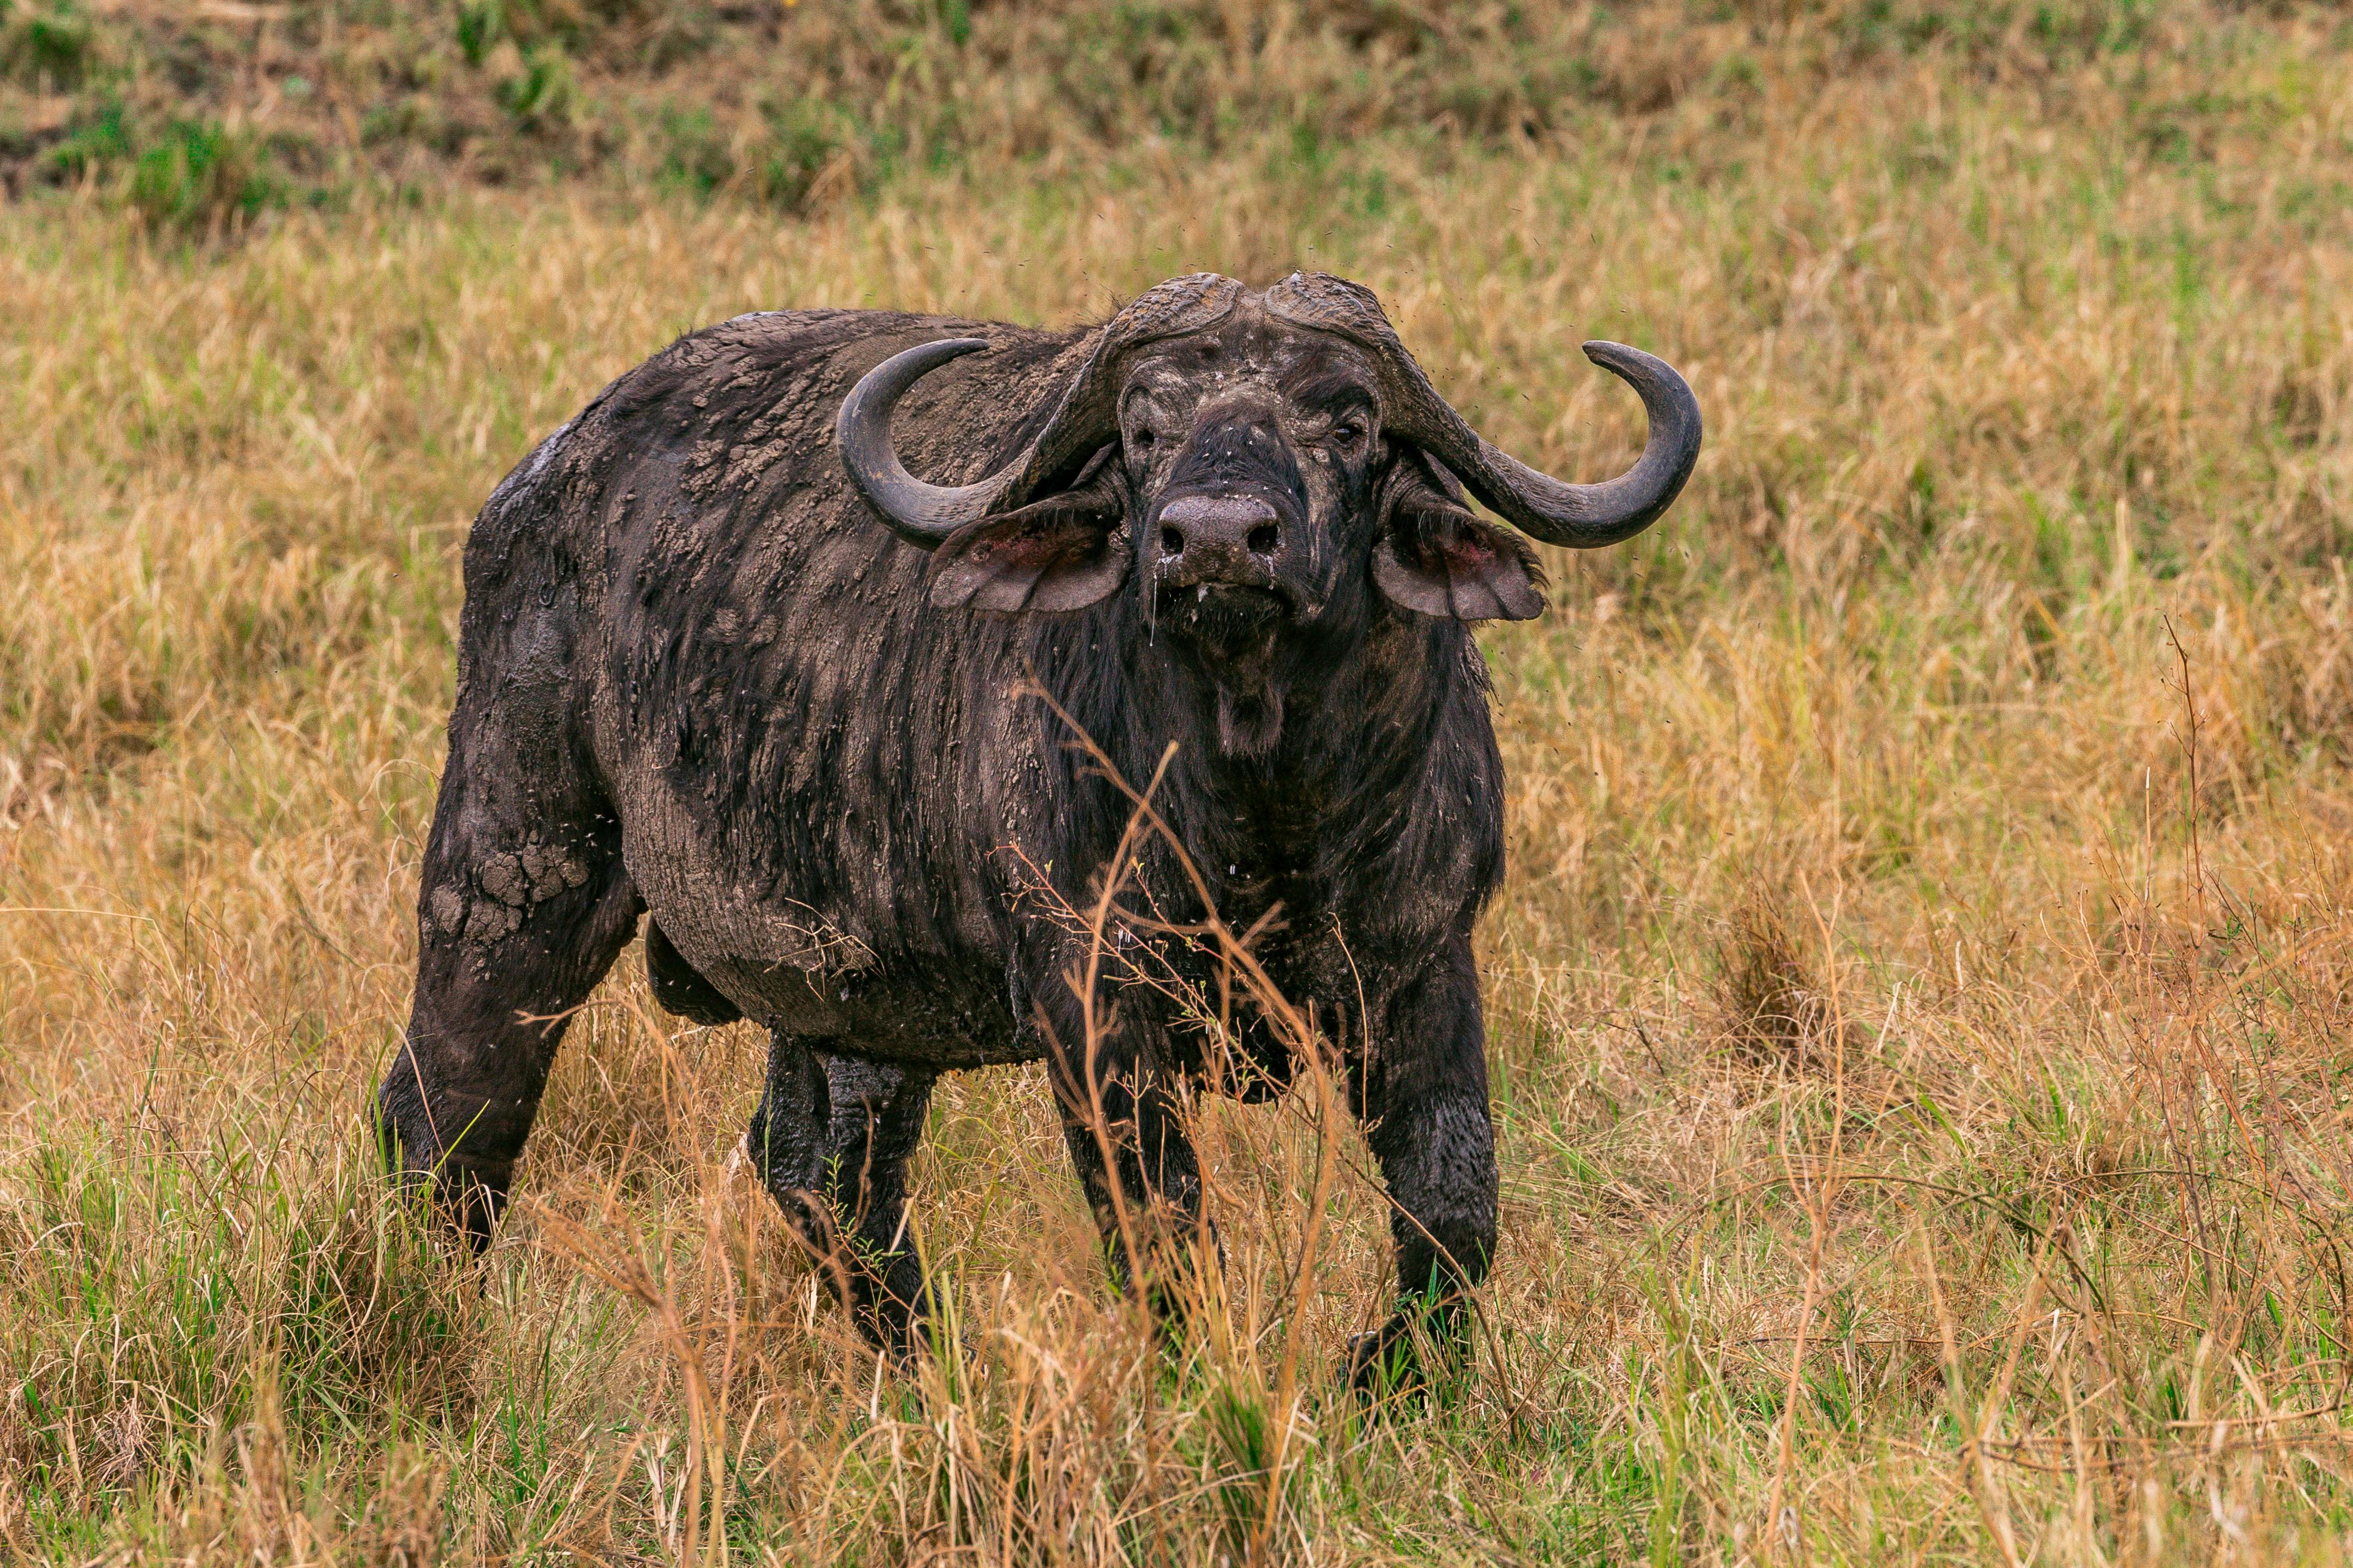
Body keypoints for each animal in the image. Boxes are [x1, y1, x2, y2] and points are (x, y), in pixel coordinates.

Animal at [378, 271, 1700, 1386]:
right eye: (1144, 430)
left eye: (1349, 423)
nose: (1213, 540)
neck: (1260, 808)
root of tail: (547, 476)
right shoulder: (1091, 1000)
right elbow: (1163, 1230)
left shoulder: (1421, 964)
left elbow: (1456, 1206)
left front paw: (1384, 1386)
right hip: (513, 861)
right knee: (449, 1118)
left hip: (853, 993)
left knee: (820, 1171)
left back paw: (931, 1373)